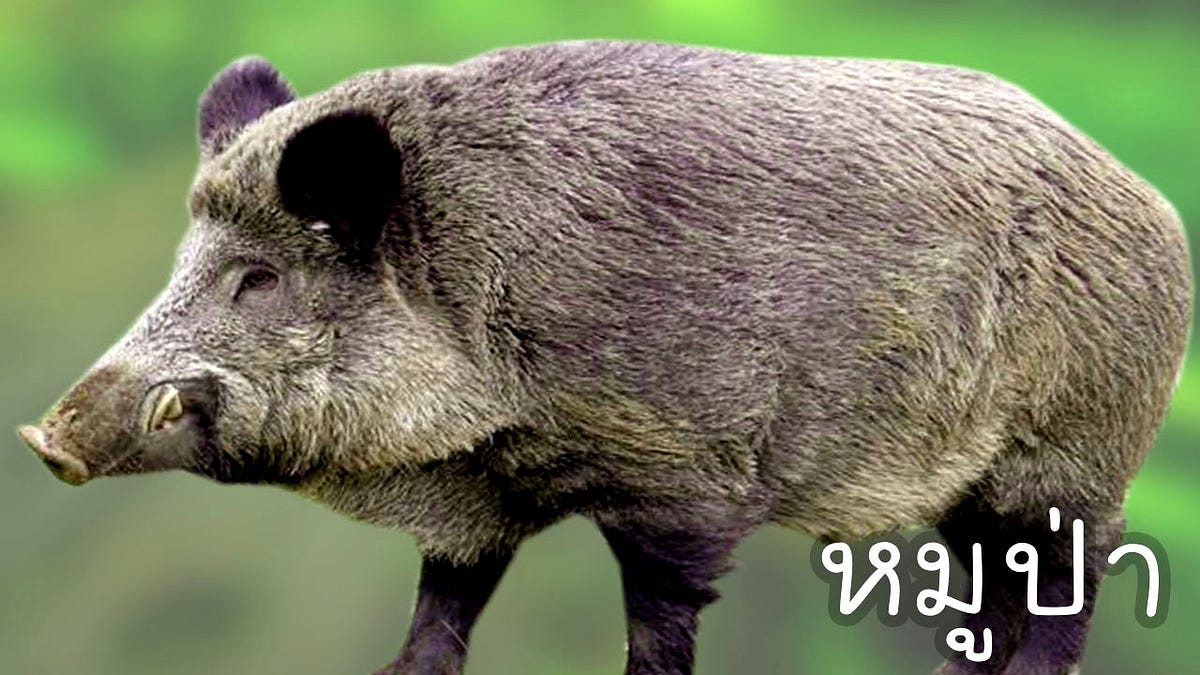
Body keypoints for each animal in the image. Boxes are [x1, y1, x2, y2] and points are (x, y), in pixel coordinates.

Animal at [17, 41, 1191, 675]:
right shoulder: (482, 493)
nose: (45, 435)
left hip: (1077, 449)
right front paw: (397, 666)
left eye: (257, 278)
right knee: (992, 577)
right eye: (184, 259)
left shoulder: (687, 470)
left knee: (1070, 575)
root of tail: (1152, 202)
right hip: (975, 485)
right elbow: (448, 596)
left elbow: (659, 610)